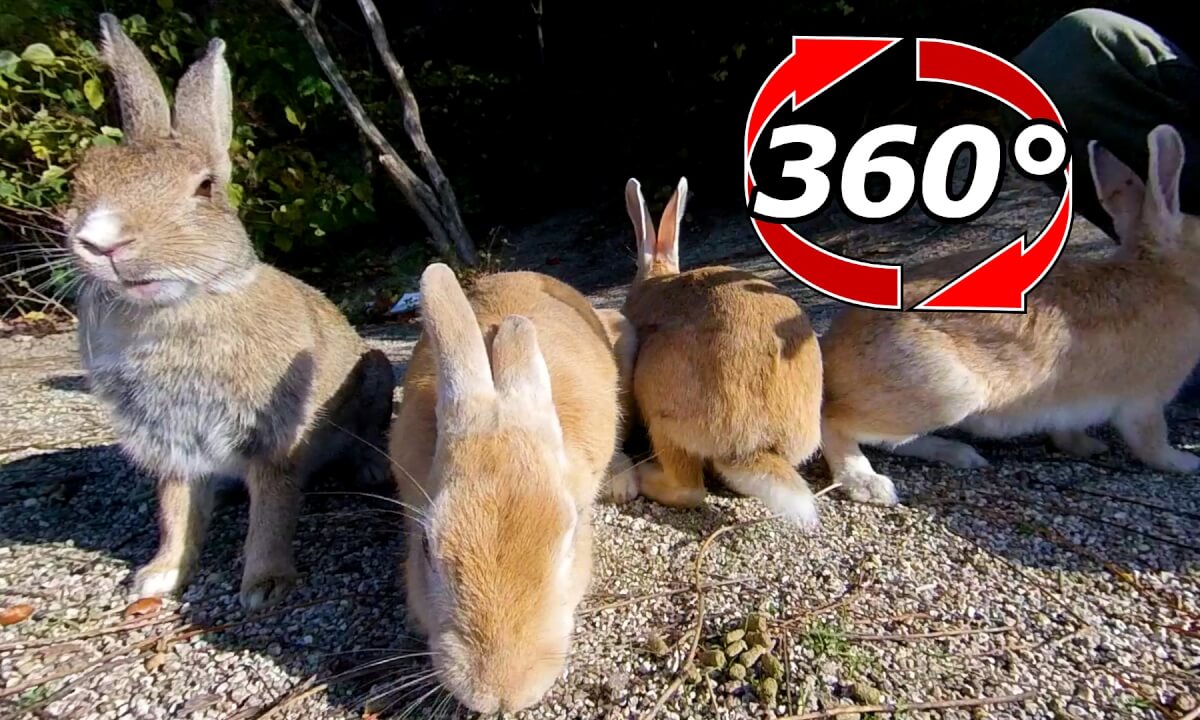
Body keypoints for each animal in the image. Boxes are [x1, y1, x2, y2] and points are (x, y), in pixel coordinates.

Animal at [65, 14, 396, 610]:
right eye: (79, 181)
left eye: (204, 188)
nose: (102, 241)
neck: (176, 310)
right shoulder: (172, 449)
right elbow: (175, 511)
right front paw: (159, 576)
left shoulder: (271, 440)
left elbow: (272, 510)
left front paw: (265, 587)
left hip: (377, 374)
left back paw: (372, 468)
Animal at [818, 123, 1200, 504]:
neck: (1165, 273)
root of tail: (830, 351)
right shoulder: (1145, 400)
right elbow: (1152, 443)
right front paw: (1186, 463)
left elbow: (1069, 429)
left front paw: (1087, 446)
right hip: (947, 392)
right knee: (833, 420)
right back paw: (867, 483)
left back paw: (959, 454)